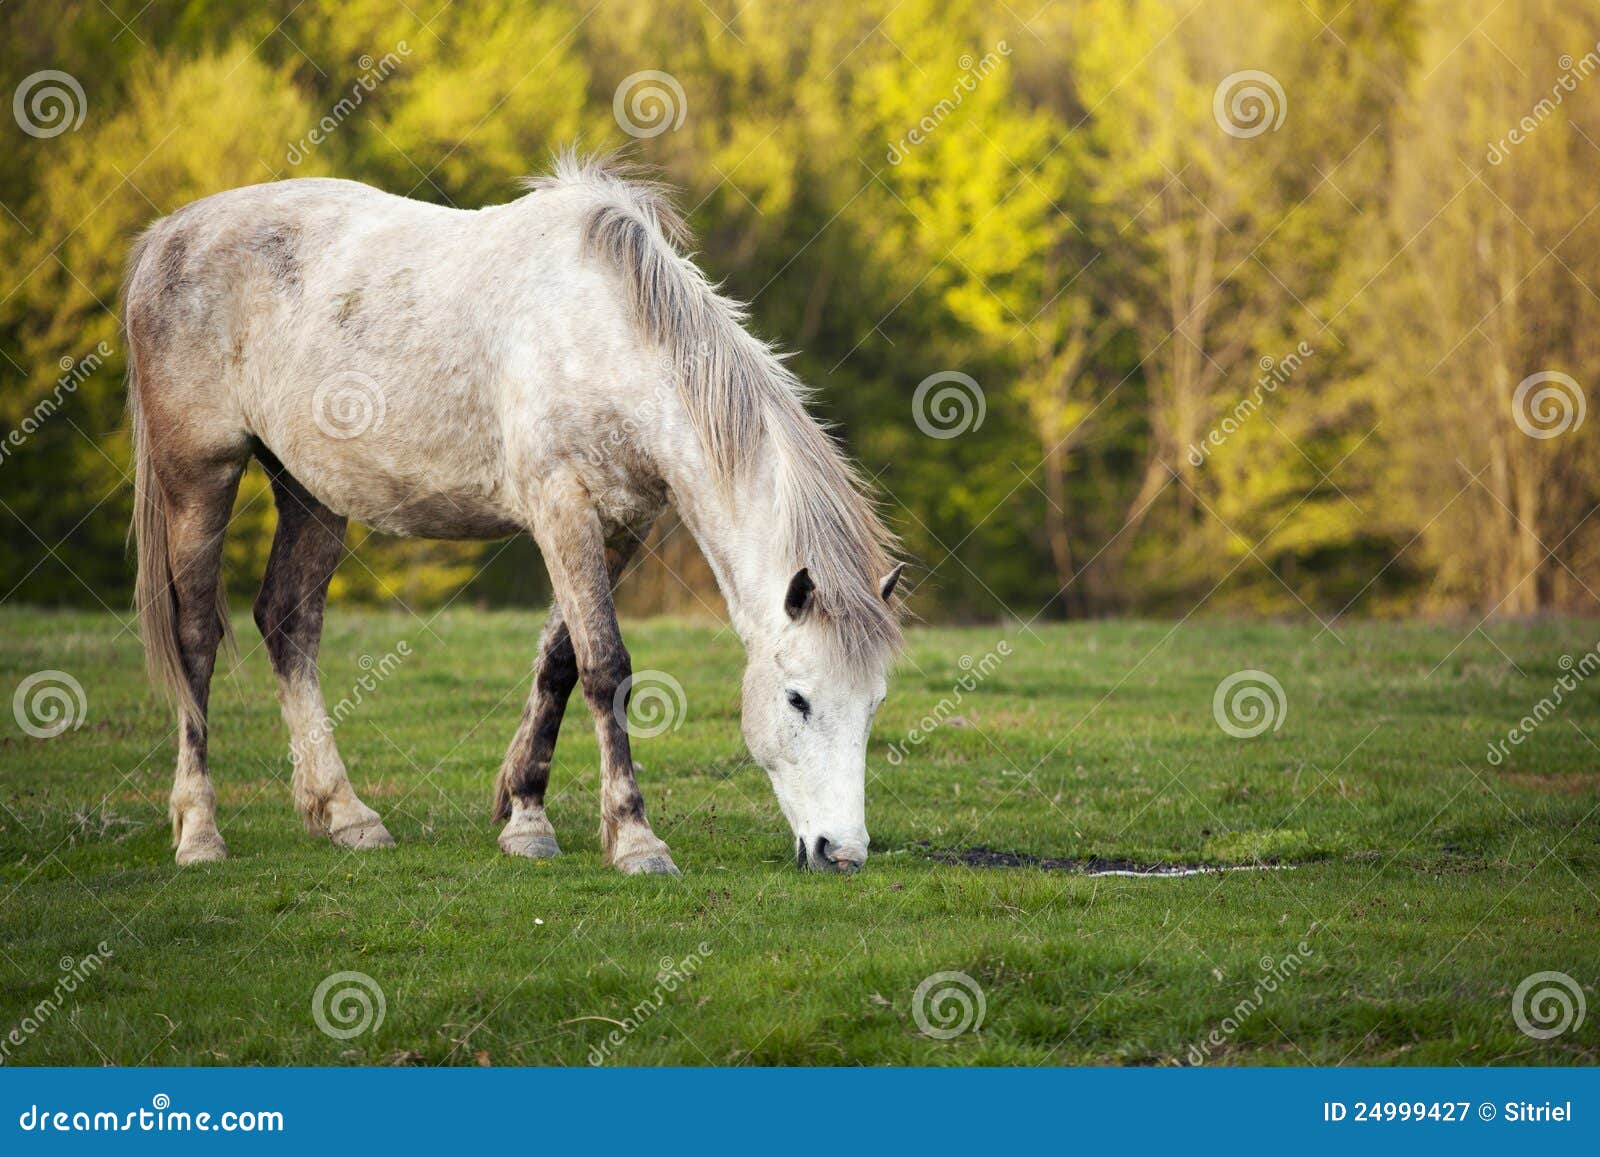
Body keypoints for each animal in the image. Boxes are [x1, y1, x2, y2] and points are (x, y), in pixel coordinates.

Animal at [122, 151, 905, 876]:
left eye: (873, 704)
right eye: (799, 699)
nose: (842, 852)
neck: (609, 336)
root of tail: (166, 236)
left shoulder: (620, 524)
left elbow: (560, 662)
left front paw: (526, 818)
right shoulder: (562, 508)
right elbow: (606, 666)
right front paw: (635, 839)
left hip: (308, 488)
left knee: (289, 622)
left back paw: (346, 815)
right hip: (200, 475)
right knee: (196, 637)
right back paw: (199, 832)